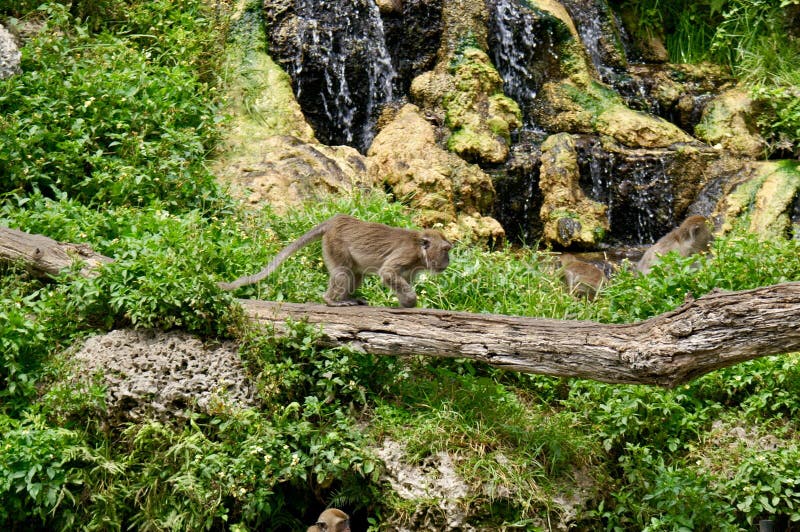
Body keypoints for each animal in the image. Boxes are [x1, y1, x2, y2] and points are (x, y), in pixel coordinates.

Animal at [218, 214, 452, 308]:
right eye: (446, 250)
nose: (447, 262)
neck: (419, 251)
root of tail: (333, 221)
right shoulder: (406, 254)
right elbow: (387, 272)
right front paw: (411, 301)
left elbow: (399, 279)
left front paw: (405, 302)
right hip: (335, 244)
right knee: (343, 272)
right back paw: (332, 300)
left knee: (355, 275)